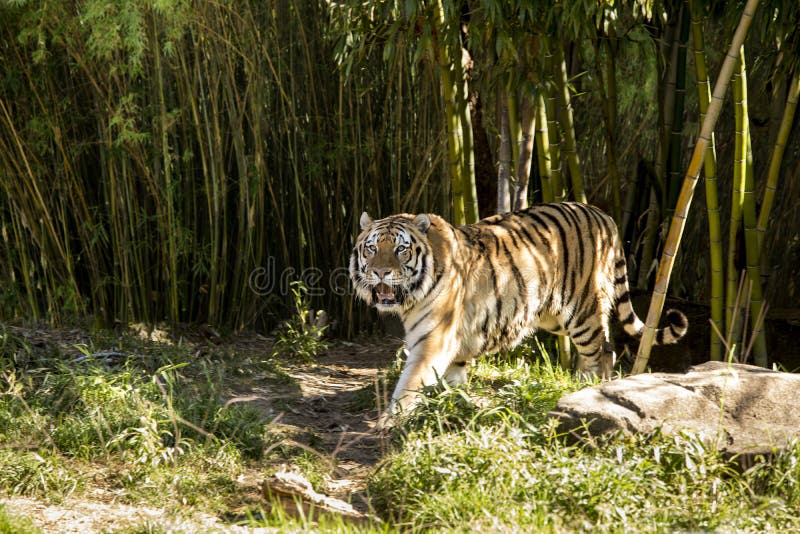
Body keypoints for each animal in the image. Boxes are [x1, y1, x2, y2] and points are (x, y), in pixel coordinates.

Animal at [349, 202, 688, 422]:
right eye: (371, 248)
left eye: (400, 249)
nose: (380, 272)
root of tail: (603, 215)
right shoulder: (454, 338)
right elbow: (454, 374)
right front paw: (456, 403)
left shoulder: (432, 339)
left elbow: (409, 382)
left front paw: (392, 420)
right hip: (554, 314)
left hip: (582, 308)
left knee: (602, 350)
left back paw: (587, 391)